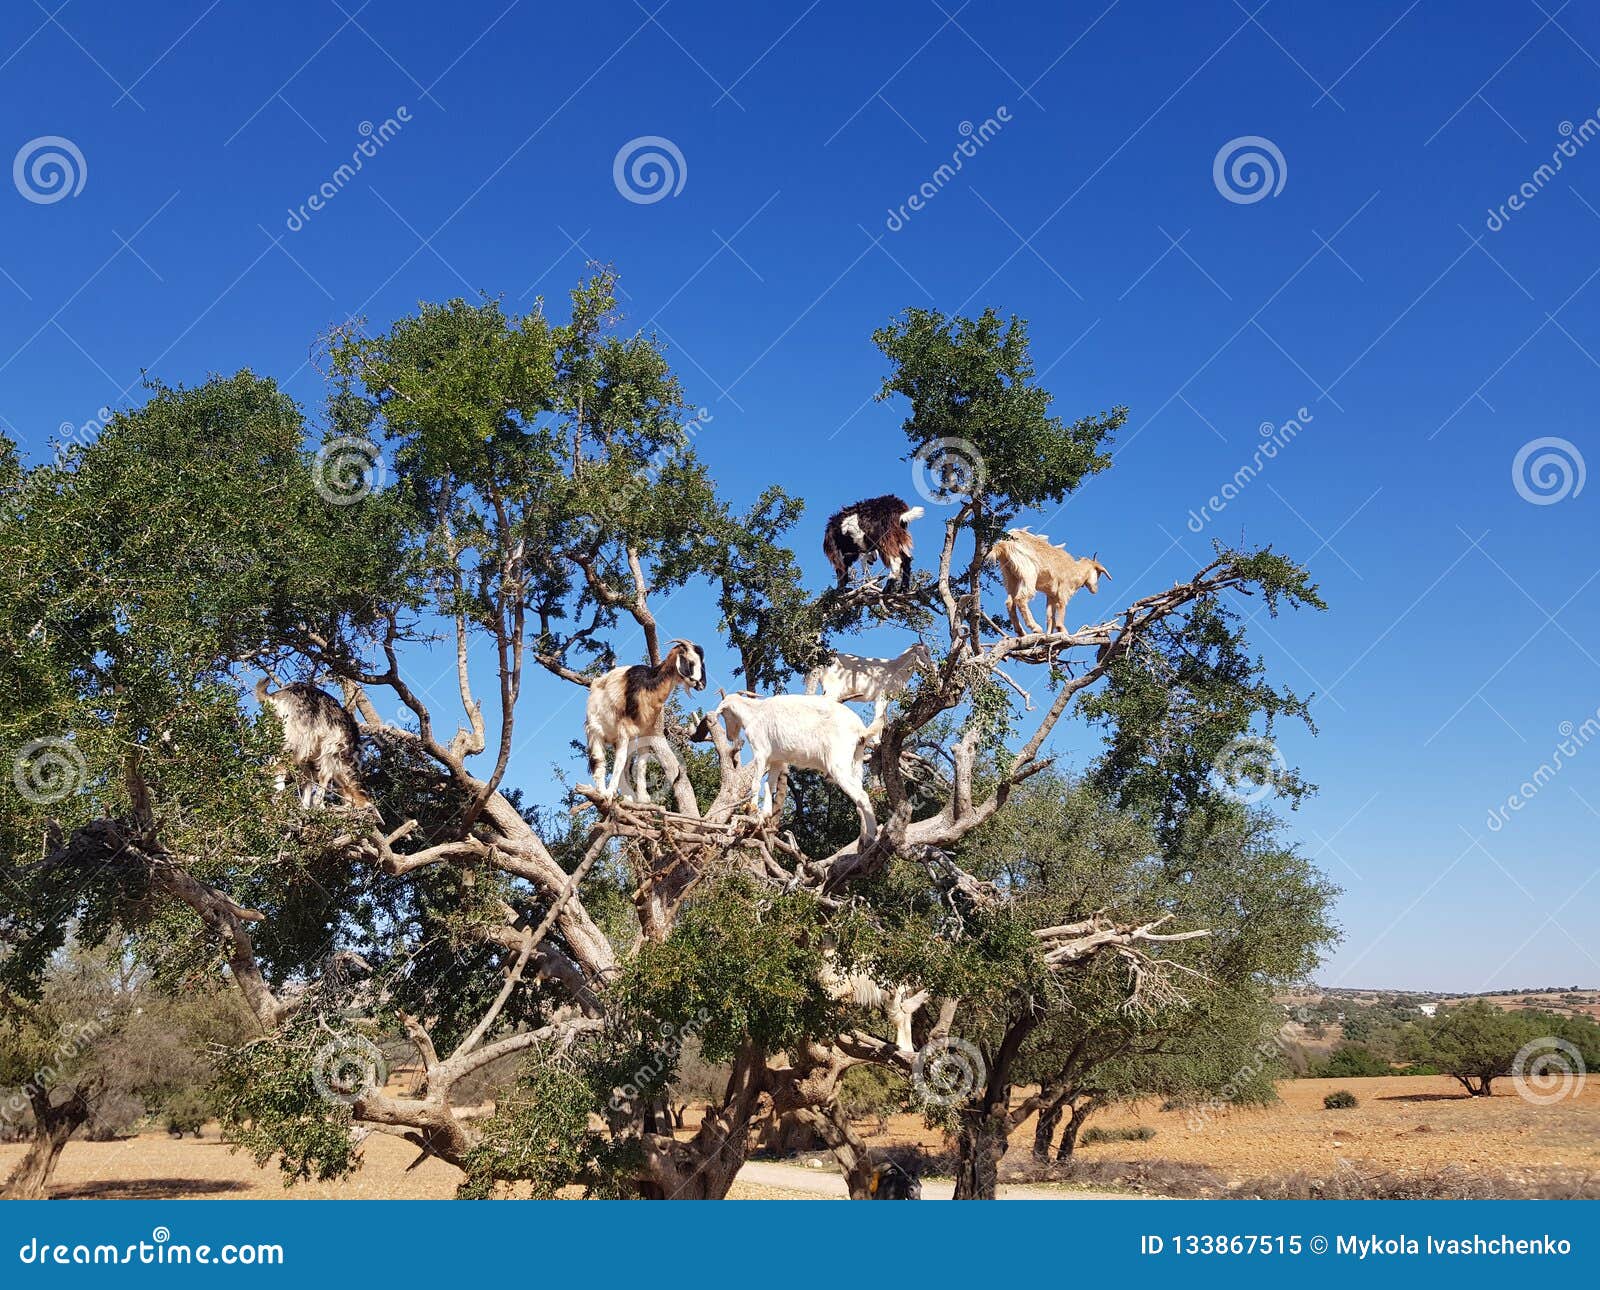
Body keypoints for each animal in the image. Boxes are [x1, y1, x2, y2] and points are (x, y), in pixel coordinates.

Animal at [255, 678, 372, 810]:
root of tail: (274, 698)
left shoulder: (311, 759)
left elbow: (309, 779)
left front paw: (305, 806)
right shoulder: (333, 747)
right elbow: (325, 775)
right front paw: (320, 806)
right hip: (297, 737)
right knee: (279, 766)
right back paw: (280, 800)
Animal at [584, 639, 706, 799]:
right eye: (691, 662)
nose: (702, 684)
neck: (648, 687)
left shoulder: (646, 732)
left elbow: (641, 762)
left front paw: (643, 798)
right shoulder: (624, 730)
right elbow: (620, 761)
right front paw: (610, 793)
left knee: (626, 764)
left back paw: (628, 797)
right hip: (595, 731)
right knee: (599, 761)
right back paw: (602, 792)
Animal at [698, 693, 883, 843]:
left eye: (724, 713)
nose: (730, 736)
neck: (755, 712)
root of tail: (860, 730)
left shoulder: (761, 752)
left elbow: (756, 783)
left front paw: (752, 811)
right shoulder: (776, 760)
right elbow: (769, 785)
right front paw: (764, 814)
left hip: (838, 762)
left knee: (862, 796)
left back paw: (871, 835)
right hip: (856, 761)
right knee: (859, 797)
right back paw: (864, 837)